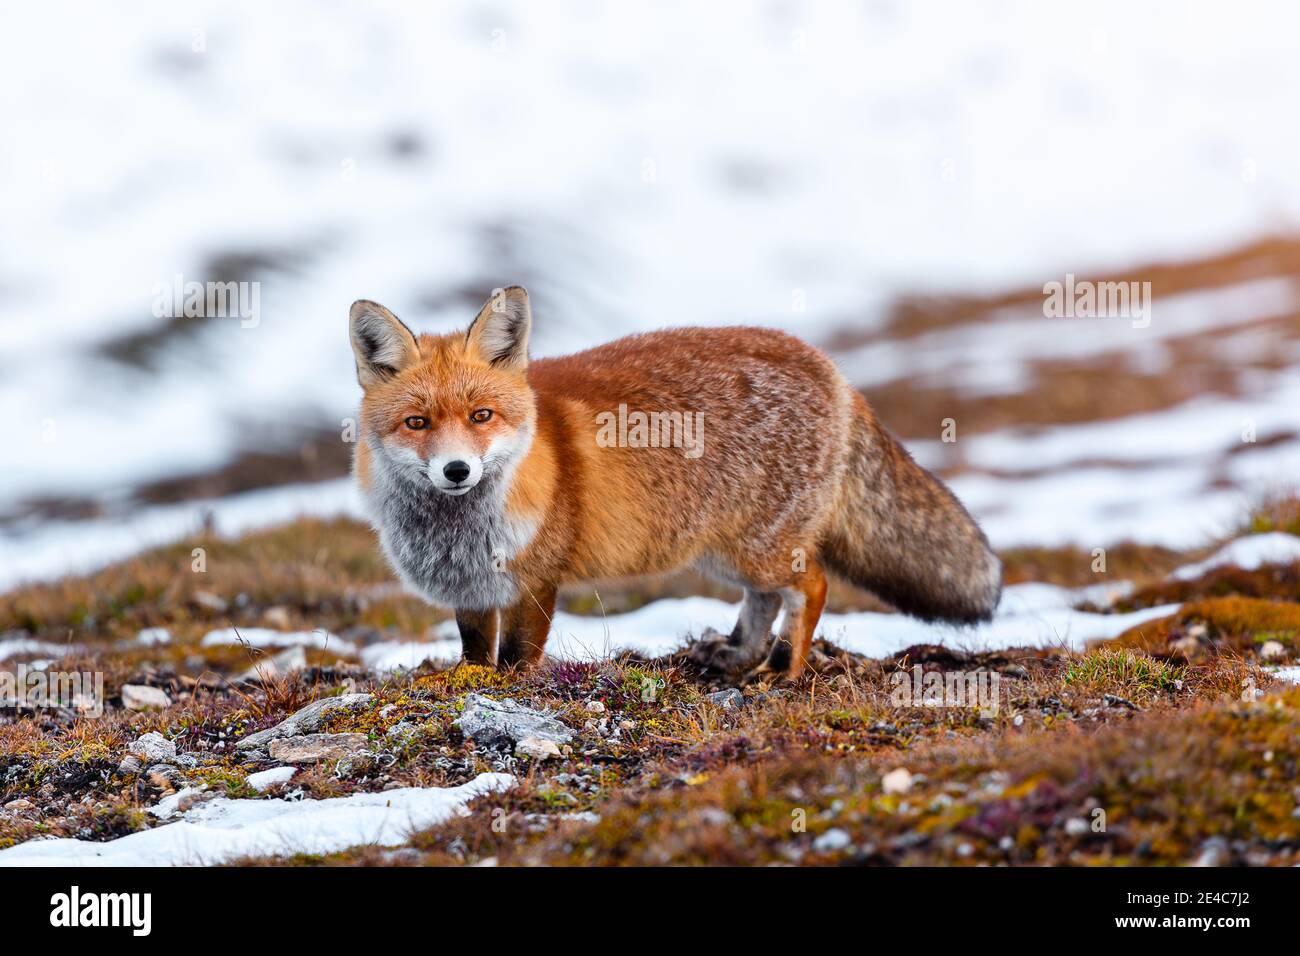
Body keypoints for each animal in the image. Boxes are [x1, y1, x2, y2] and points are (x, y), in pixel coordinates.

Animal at [349, 287, 1001, 682]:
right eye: (417, 422)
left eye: (481, 415)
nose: (457, 471)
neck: (457, 532)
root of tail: (829, 367)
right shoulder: (473, 589)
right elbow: (475, 651)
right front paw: (470, 681)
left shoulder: (538, 579)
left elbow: (517, 657)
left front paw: (509, 690)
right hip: (719, 551)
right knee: (765, 600)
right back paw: (737, 653)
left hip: (758, 547)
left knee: (811, 586)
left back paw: (782, 670)